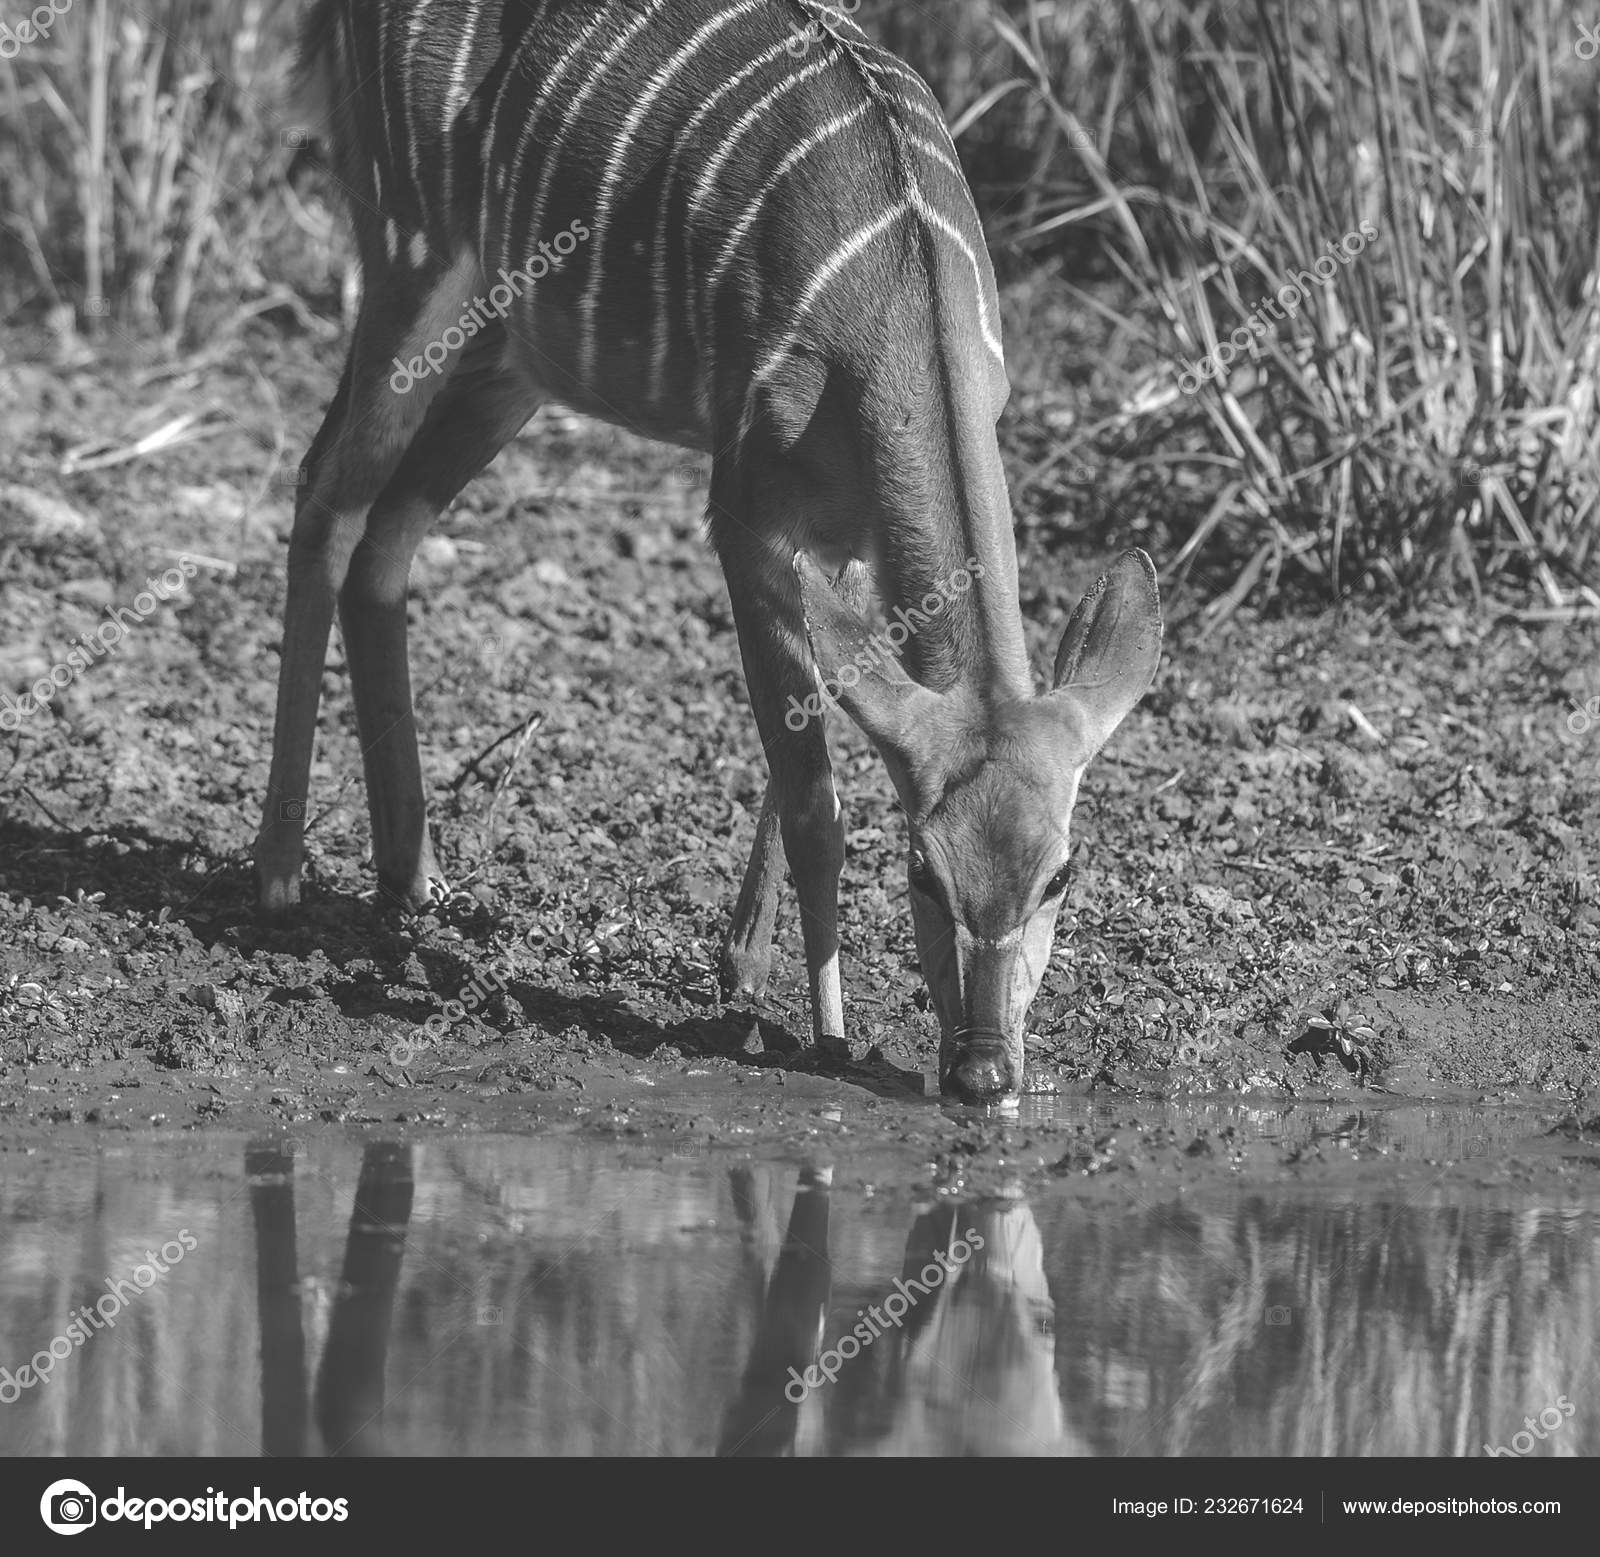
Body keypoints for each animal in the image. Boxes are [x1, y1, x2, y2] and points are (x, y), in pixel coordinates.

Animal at [254, 0, 1163, 1101]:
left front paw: (743, 965)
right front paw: (823, 1029)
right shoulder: (743, 506)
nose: (982, 1072)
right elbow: (815, 796)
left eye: (1060, 873)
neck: (899, 284)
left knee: (386, 536)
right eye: (920, 870)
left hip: (512, 356)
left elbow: (815, 724)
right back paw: (279, 874)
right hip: (411, 263)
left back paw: (412, 880)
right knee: (327, 497)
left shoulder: (844, 540)